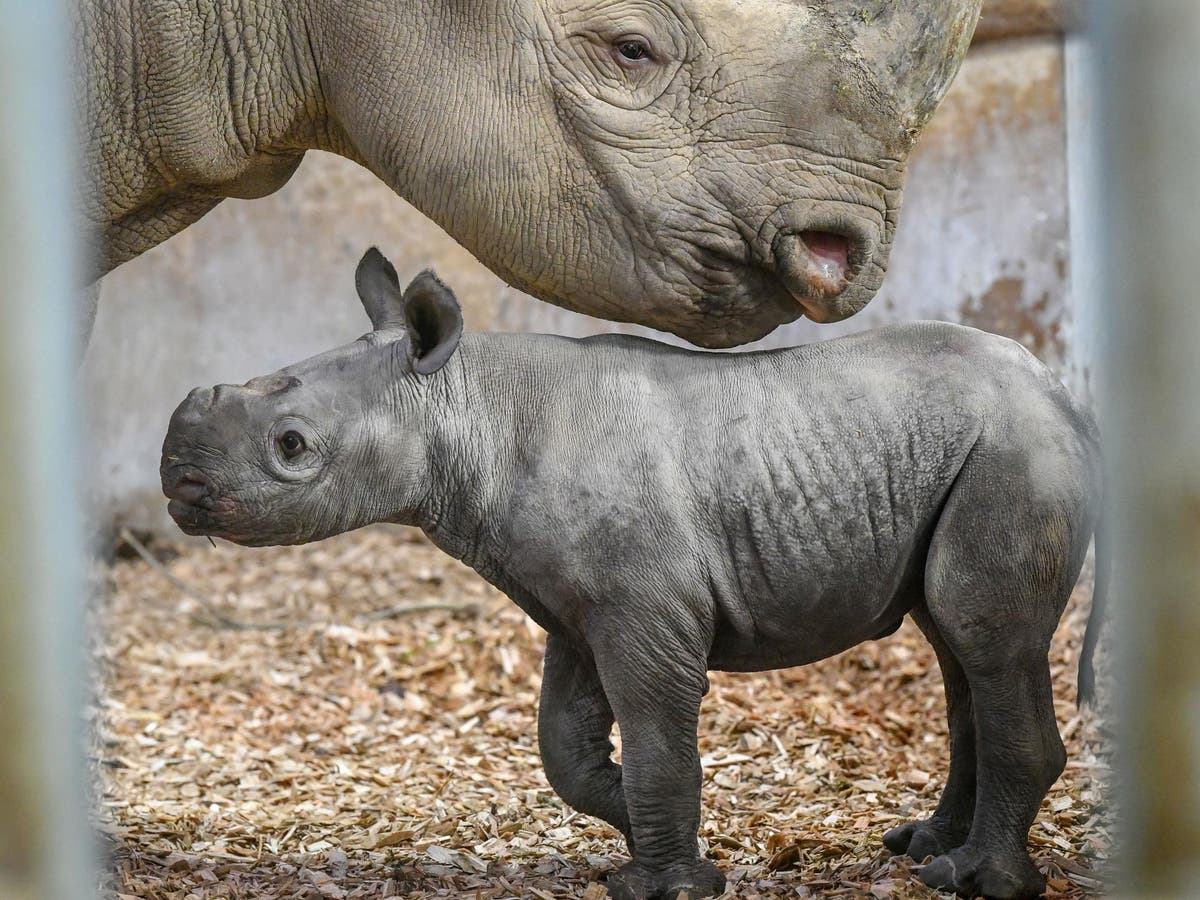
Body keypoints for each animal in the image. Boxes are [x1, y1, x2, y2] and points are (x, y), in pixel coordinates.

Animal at [161, 249, 1104, 900]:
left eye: (291, 446)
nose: (178, 483)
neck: (458, 400)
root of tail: (1065, 394)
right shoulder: (576, 607)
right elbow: (564, 747)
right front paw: (656, 828)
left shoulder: (642, 609)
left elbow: (653, 729)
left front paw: (668, 882)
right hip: (980, 447)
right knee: (957, 646)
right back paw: (922, 847)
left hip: (1013, 449)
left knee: (980, 634)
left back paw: (972, 880)